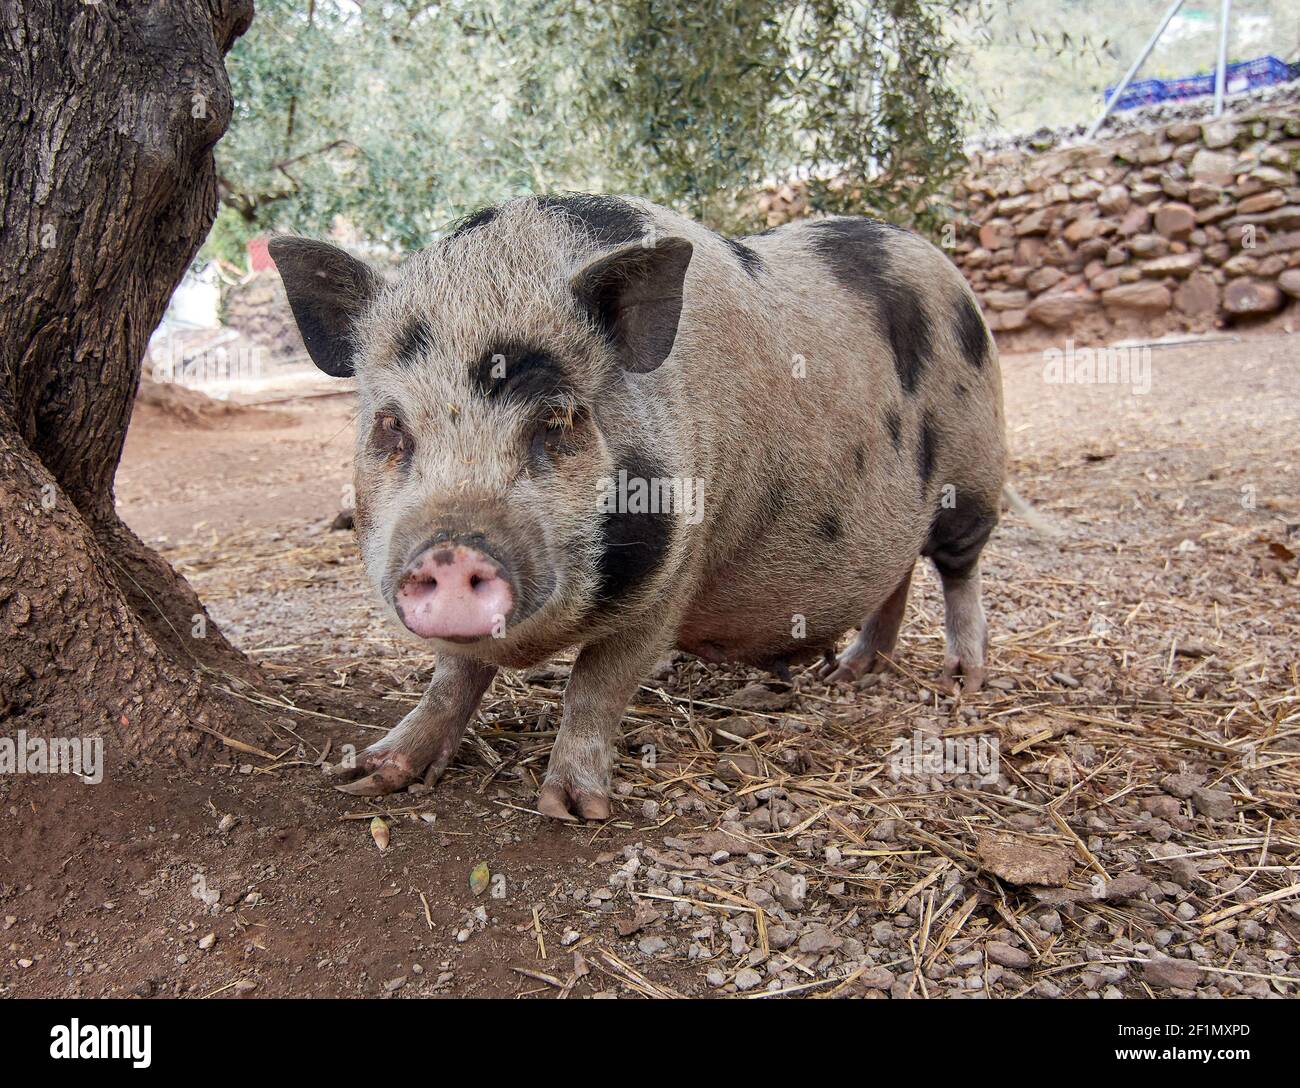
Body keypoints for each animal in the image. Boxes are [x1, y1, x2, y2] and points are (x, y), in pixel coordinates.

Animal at [269, 192, 1005, 820]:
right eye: (390, 425)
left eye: (560, 419)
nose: (452, 549)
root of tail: (936, 256)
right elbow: (451, 677)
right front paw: (368, 775)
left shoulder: (676, 574)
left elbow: (598, 685)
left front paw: (573, 809)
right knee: (896, 576)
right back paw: (852, 673)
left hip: (974, 471)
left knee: (959, 570)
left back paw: (961, 681)